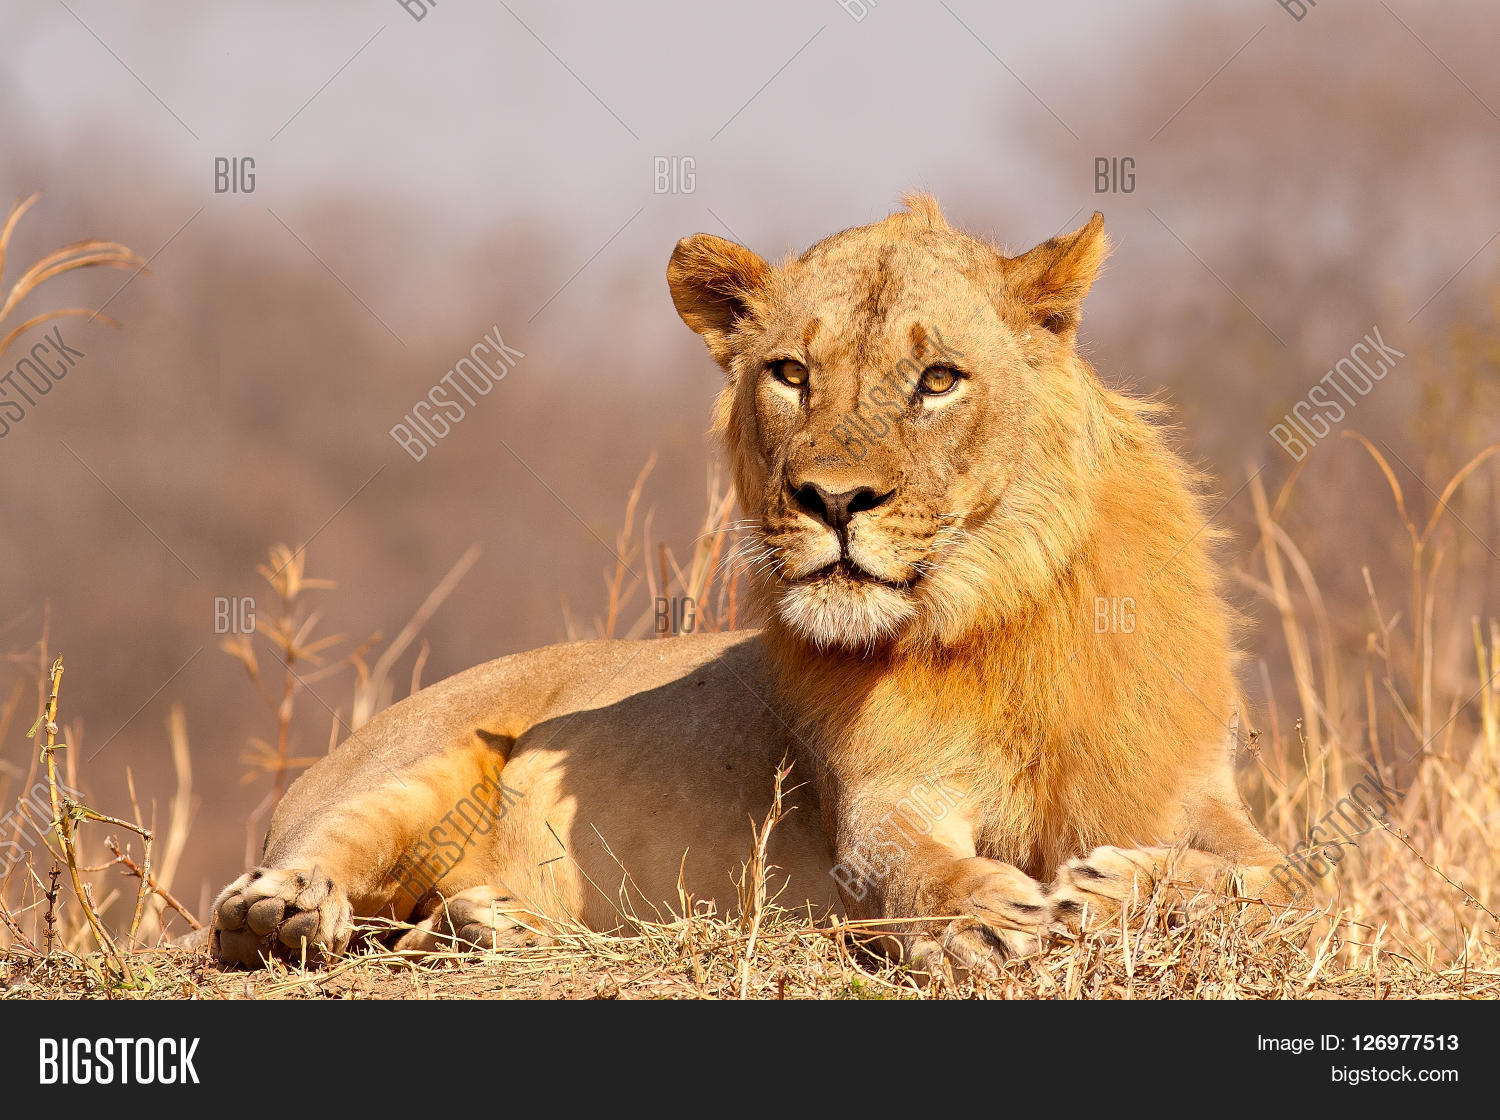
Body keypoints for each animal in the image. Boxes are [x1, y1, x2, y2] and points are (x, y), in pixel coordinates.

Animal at [207, 195, 1294, 976]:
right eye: (790, 373)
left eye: (939, 379)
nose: (832, 498)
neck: (991, 614)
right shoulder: (879, 802)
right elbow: (914, 865)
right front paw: (979, 917)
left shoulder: (1199, 797)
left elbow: (1274, 886)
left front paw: (1111, 890)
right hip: (428, 755)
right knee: (281, 894)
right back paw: (285, 911)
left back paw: (495, 925)